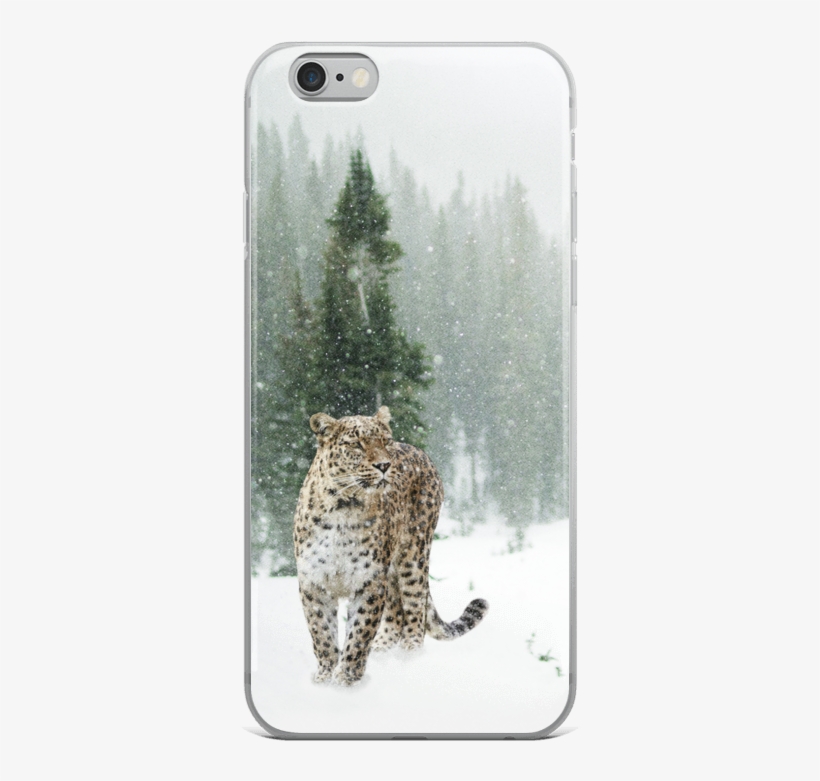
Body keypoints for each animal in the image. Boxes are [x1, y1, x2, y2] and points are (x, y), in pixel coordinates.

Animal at [293, 406, 489, 686]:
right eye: (356, 444)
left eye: (384, 442)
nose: (384, 465)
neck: (343, 507)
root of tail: (419, 451)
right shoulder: (314, 581)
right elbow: (322, 634)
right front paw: (325, 678)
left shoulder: (370, 581)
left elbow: (359, 633)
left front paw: (346, 680)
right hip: (394, 570)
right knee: (396, 612)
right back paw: (383, 652)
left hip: (413, 556)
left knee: (415, 610)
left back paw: (409, 659)